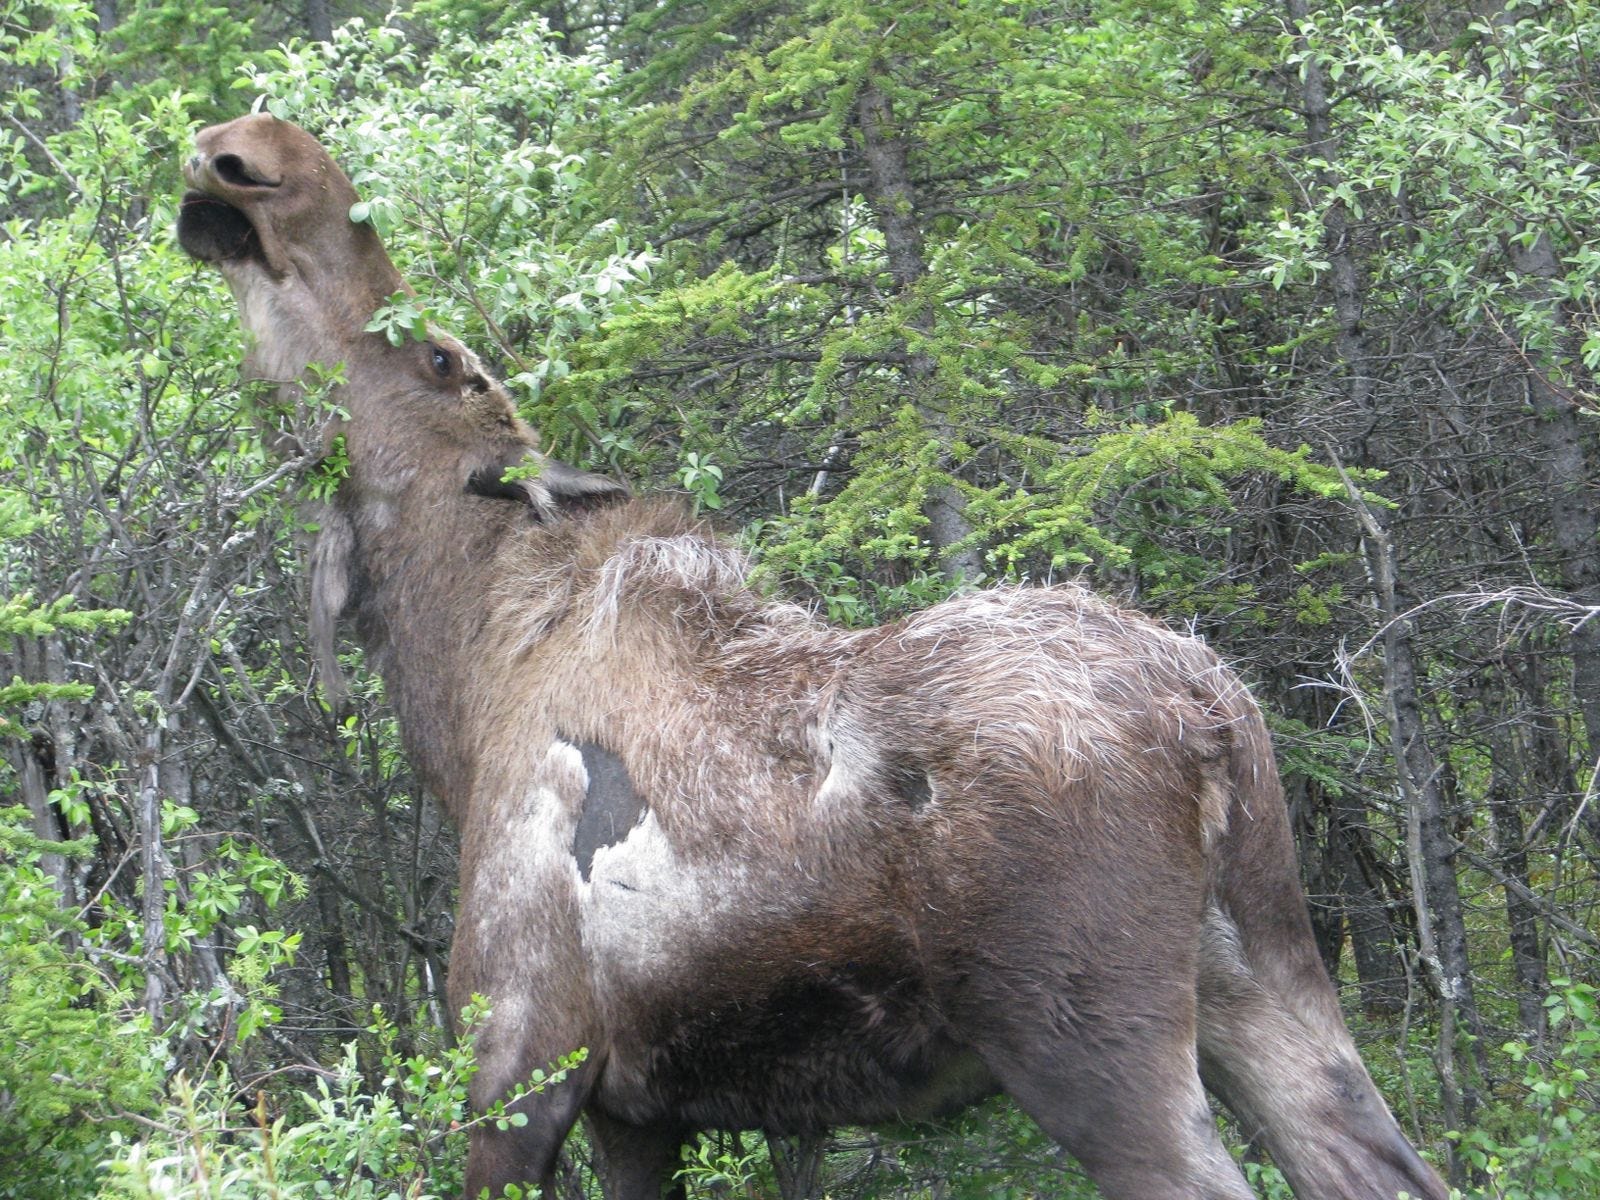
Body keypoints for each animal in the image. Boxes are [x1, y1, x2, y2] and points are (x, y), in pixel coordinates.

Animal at [178, 113, 1449, 1200]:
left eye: (445, 357)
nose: (255, 152)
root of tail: (1213, 720)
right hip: (1271, 979)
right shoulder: (638, 1115)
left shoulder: (515, 1068)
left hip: (1085, 1037)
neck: (460, 686)